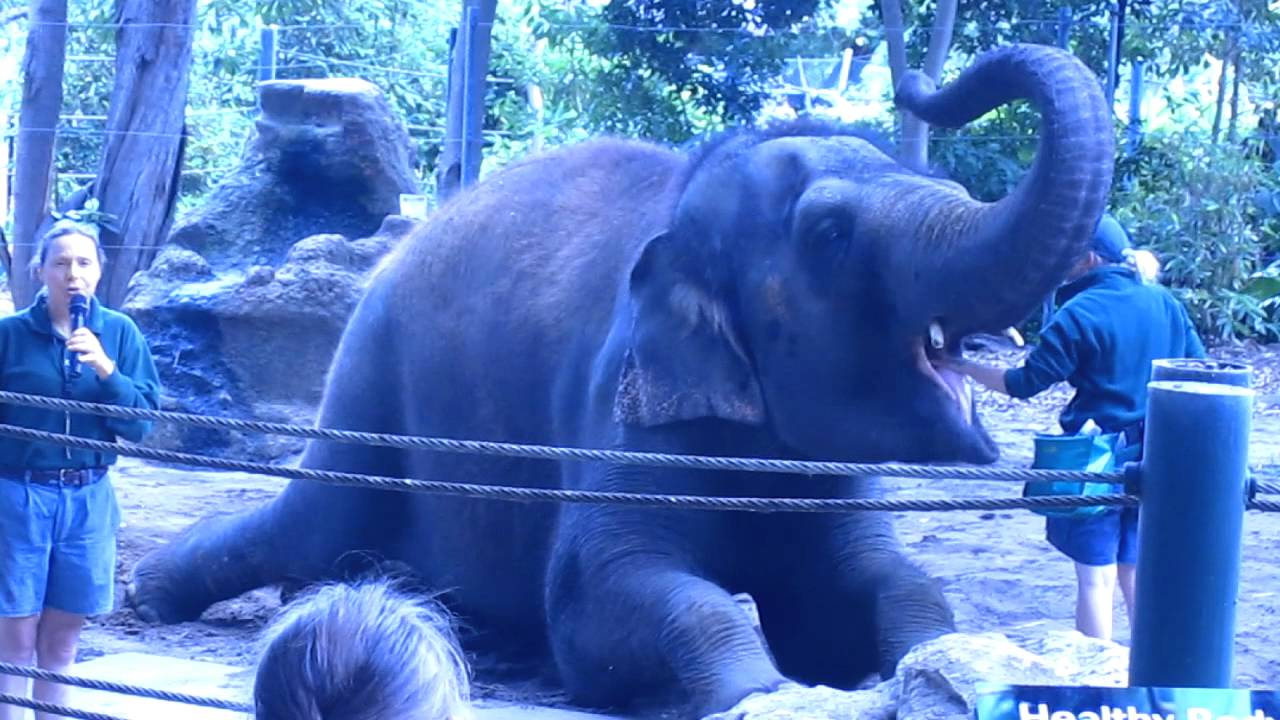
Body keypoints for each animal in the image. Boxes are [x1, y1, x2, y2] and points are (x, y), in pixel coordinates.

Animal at [128, 43, 1115, 718]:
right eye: (830, 234)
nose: (914, 83)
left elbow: (878, 588)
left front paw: (931, 668)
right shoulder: (620, 406)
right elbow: (600, 599)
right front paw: (757, 693)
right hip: (368, 385)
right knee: (314, 526)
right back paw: (148, 595)